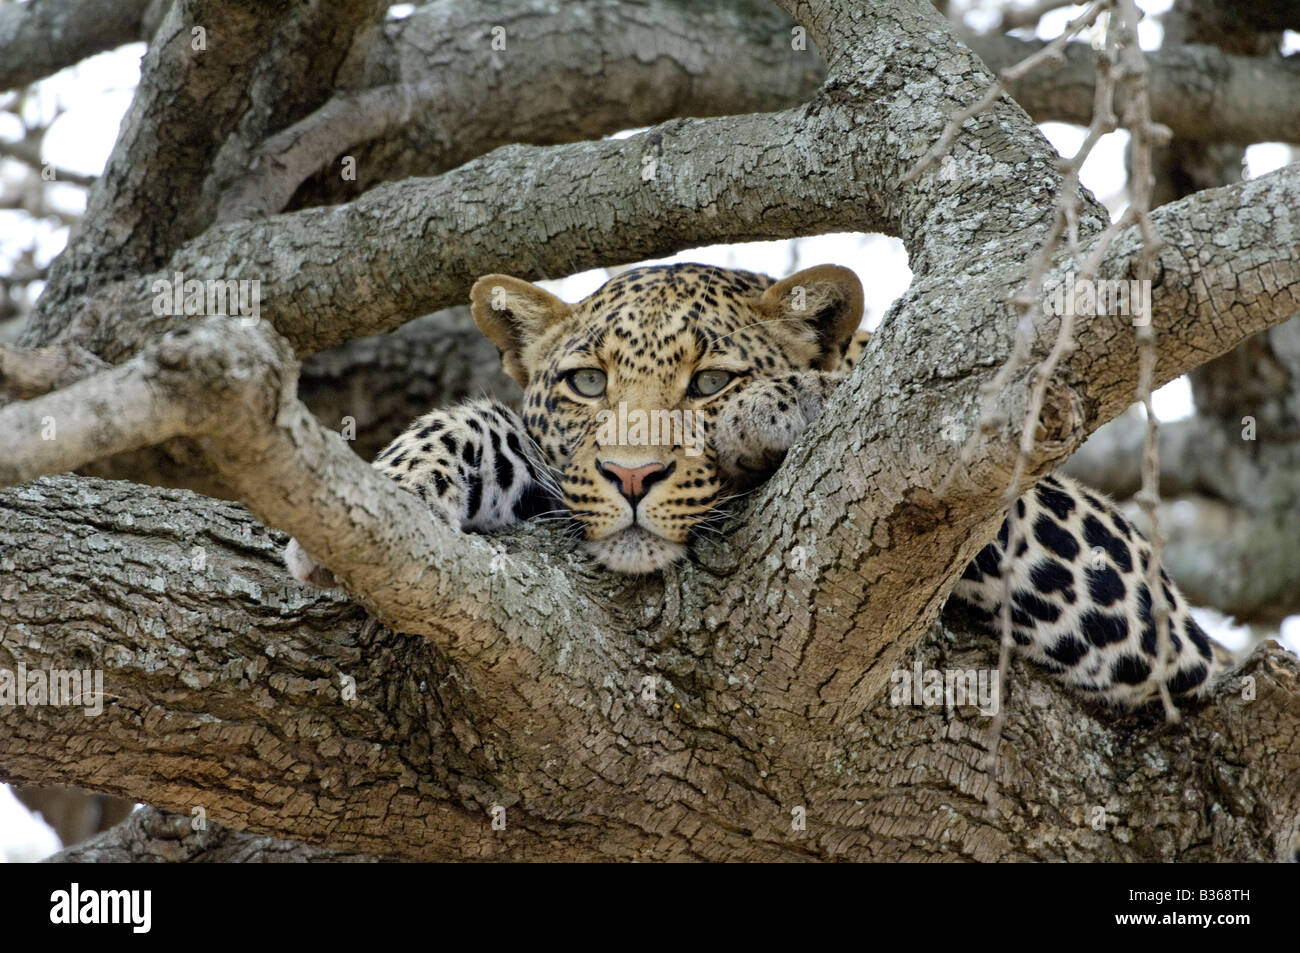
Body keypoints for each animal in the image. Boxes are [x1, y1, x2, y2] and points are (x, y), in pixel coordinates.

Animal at [285, 262, 1230, 709]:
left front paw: (782, 409)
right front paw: (397, 482)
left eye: (710, 381)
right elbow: (487, 424)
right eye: (587, 383)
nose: (634, 476)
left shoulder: (1134, 588)